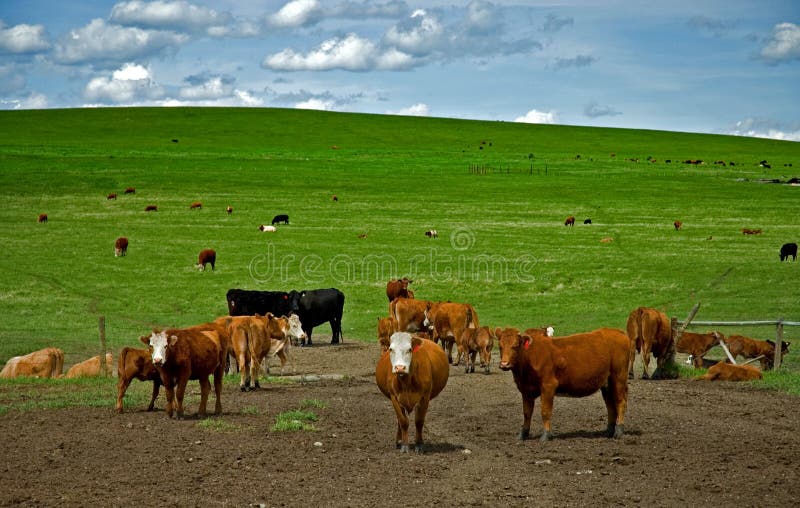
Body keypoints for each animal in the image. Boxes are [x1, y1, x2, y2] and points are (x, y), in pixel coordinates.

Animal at [497, 327, 629, 441]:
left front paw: (546, 435)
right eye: (500, 346)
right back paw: (609, 431)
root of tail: (619, 333)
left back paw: (619, 431)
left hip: (619, 378)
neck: (531, 357)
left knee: (620, 402)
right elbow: (527, 413)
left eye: (515, 346)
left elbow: (545, 412)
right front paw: (523, 434)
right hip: (606, 384)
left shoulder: (548, 386)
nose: (504, 364)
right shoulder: (526, 390)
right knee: (610, 406)